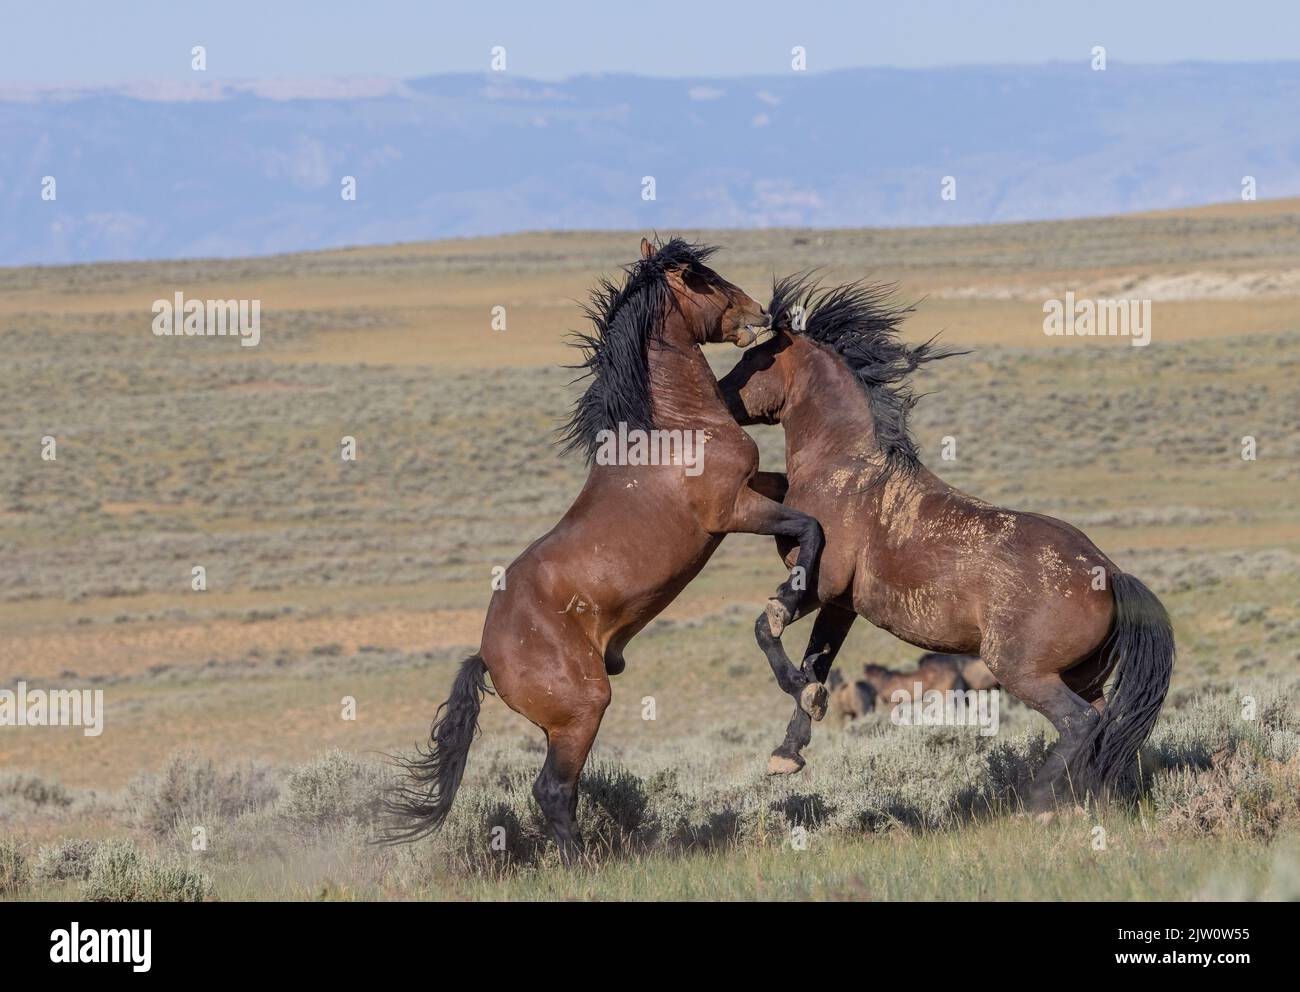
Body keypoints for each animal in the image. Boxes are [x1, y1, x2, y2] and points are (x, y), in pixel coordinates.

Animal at [383, 239, 828, 858]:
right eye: (702, 278)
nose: (758, 313)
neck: (673, 426)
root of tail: (488, 655)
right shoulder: (733, 511)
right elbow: (809, 528)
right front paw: (787, 627)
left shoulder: (757, 487)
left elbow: (800, 510)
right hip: (583, 711)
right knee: (552, 789)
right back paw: (582, 864)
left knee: (557, 792)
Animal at [718, 277, 1175, 809]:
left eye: (754, 359)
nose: (719, 398)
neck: (843, 467)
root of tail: (1110, 574)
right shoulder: (841, 605)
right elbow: (817, 664)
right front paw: (789, 750)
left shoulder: (819, 586)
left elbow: (767, 628)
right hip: (1084, 676)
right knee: (1099, 728)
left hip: (1024, 673)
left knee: (1079, 723)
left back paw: (1035, 803)